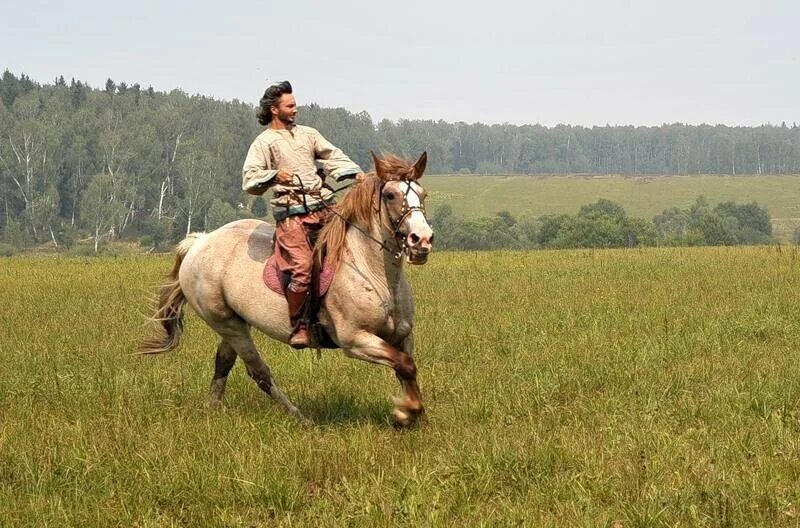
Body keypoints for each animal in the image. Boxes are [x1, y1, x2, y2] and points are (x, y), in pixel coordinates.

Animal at [141, 151, 434, 426]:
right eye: (390, 195)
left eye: (422, 194)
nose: (422, 240)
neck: (374, 273)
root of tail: (200, 242)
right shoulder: (355, 340)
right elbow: (405, 365)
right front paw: (405, 412)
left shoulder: (402, 336)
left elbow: (406, 368)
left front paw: (410, 412)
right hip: (226, 323)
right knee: (259, 372)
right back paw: (299, 417)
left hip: (235, 322)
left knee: (224, 362)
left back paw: (212, 408)